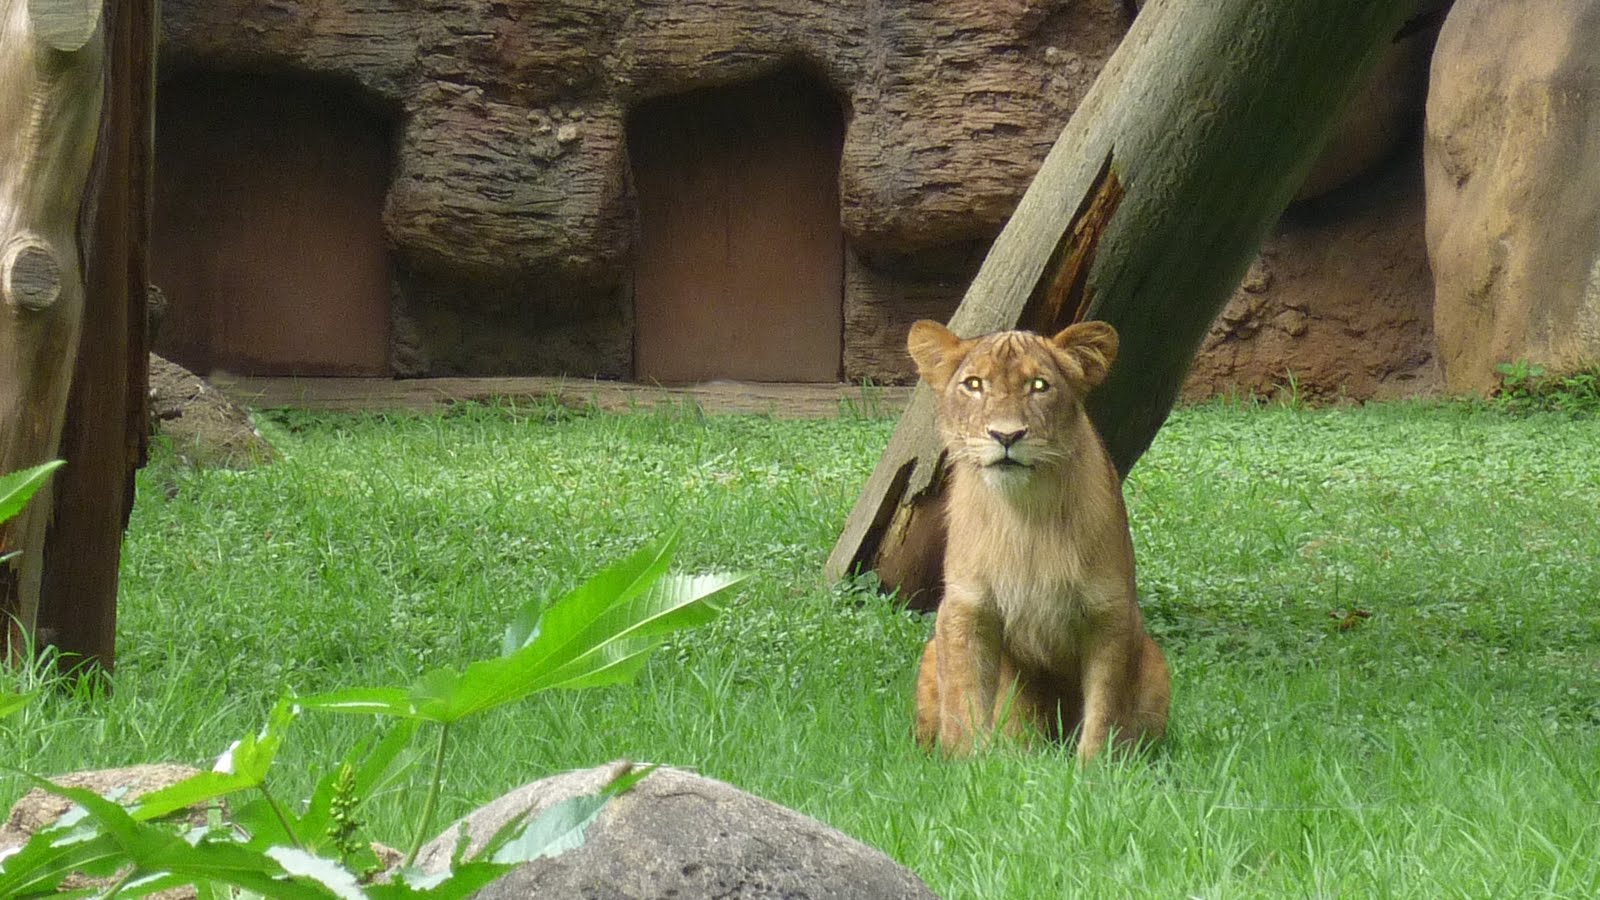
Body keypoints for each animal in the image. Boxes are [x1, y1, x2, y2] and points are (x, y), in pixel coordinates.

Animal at [907, 319, 1169, 762]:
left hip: (1154, 660)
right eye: (974, 385)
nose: (1005, 435)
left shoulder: (1112, 613)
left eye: (1039, 386)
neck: (1025, 515)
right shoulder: (965, 608)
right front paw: (968, 763)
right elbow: (963, 698)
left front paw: (1094, 769)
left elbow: (1105, 706)